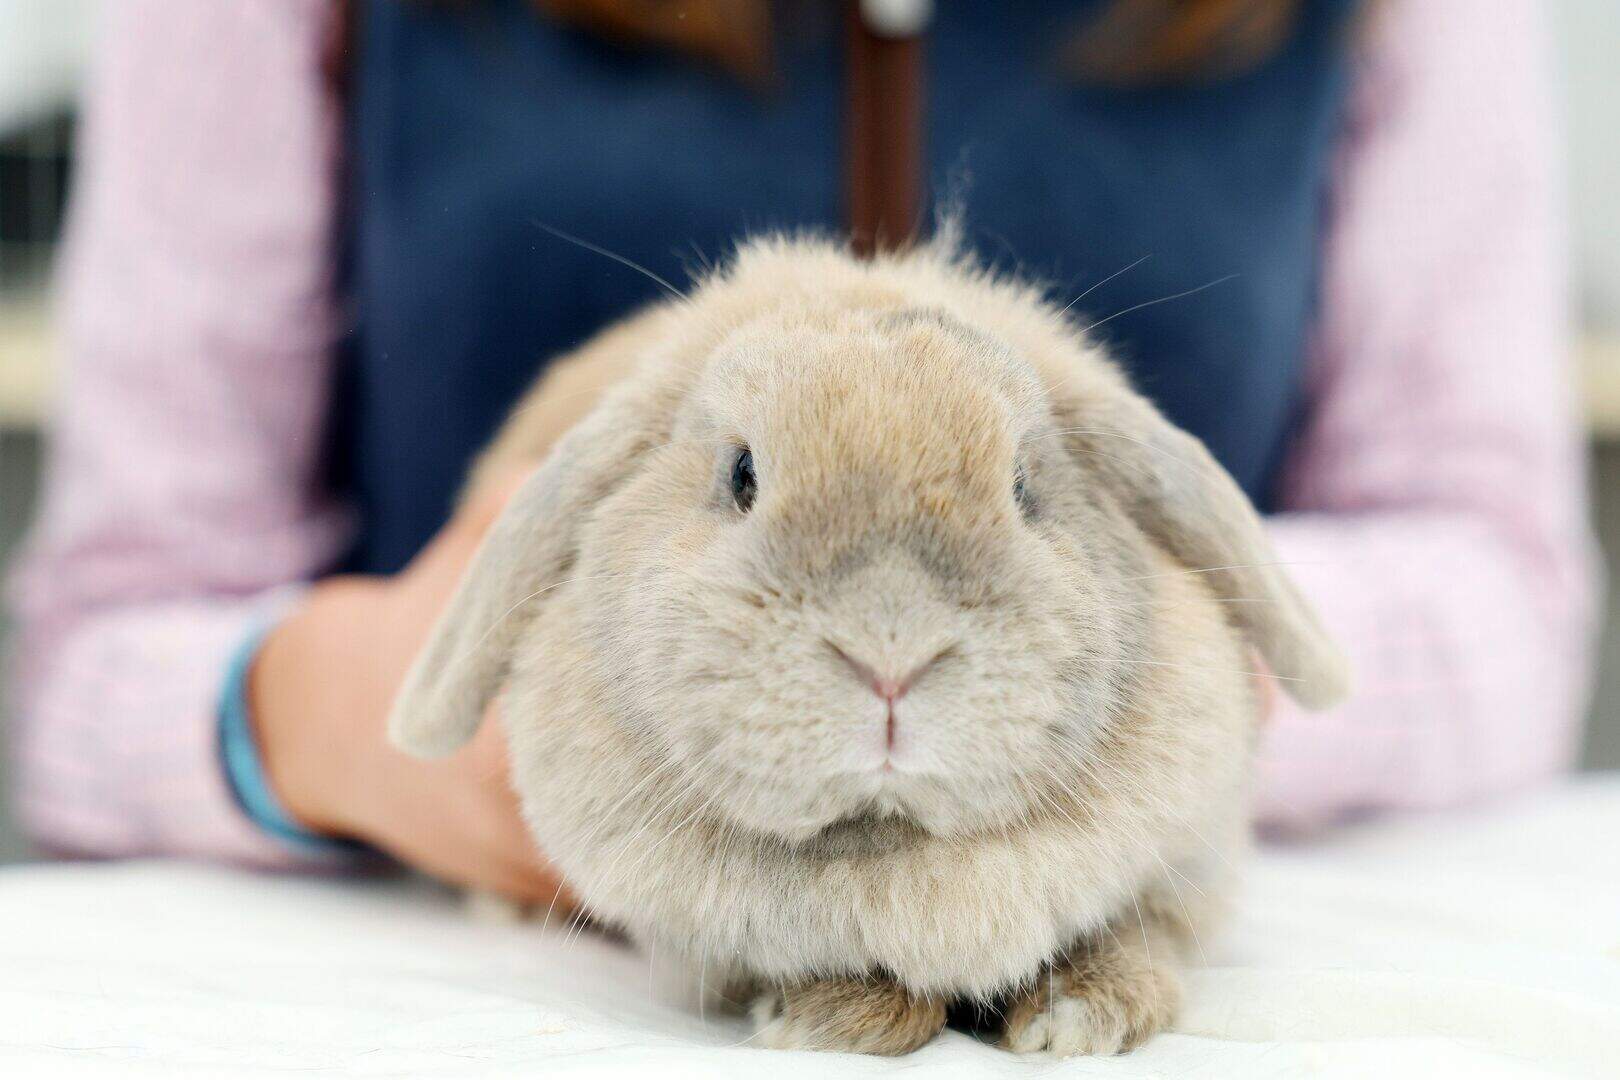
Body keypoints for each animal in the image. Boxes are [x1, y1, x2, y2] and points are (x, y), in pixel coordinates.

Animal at [388, 232, 1349, 1056]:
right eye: (742, 475)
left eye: (1024, 486)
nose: (892, 657)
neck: (890, 849)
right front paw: (832, 1017)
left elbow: (1136, 936)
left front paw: (1080, 1015)